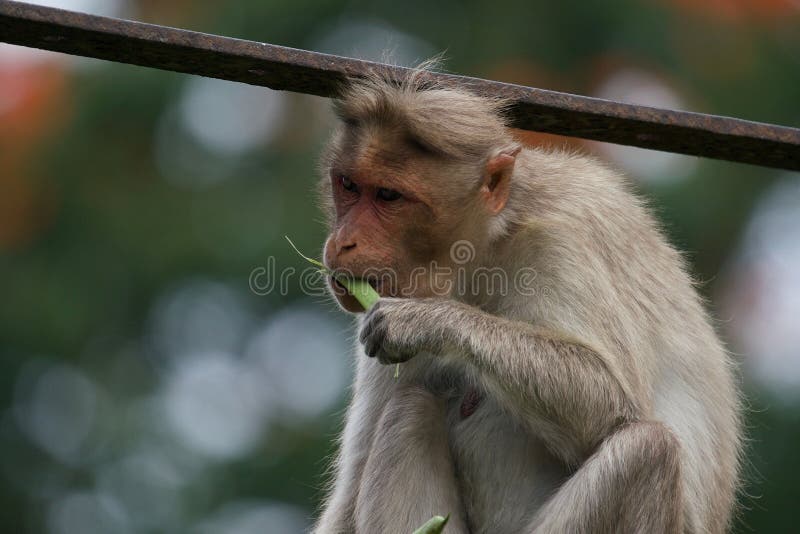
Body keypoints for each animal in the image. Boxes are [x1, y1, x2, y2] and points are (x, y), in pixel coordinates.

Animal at [312, 66, 742, 534]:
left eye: (388, 196)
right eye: (349, 186)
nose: (344, 242)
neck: (489, 248)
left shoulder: (560, 240)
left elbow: (616, 404)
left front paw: (425, 321)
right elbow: (347, 501)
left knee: (648, 451)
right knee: (409, 408)